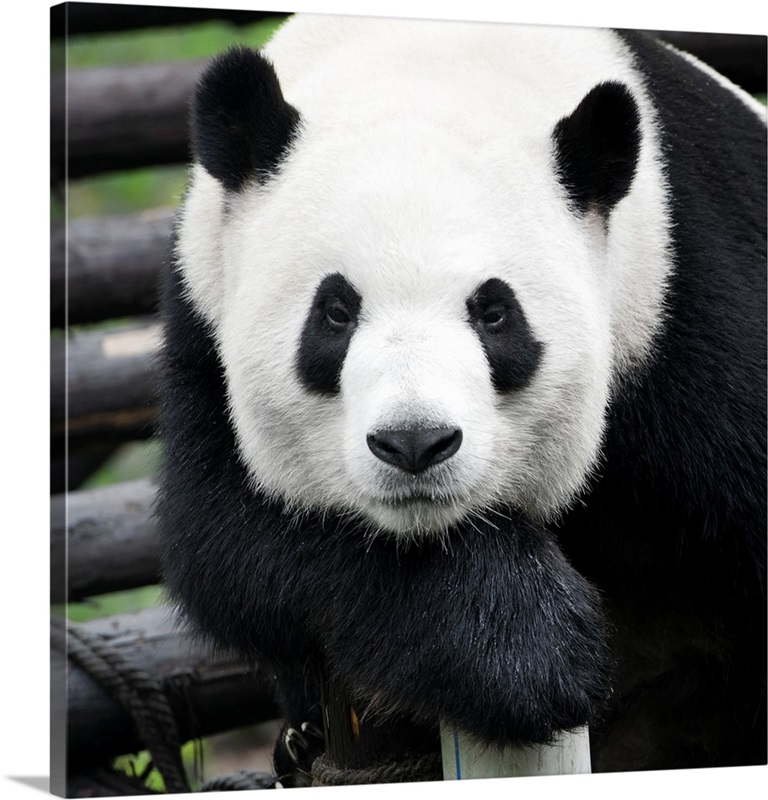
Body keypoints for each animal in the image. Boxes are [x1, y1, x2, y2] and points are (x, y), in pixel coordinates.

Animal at [157, 14, 766, 781]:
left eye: (494, 312)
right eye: (336, 311)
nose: (415, 443)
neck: (432, 54)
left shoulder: (681, 305)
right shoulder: (204, 318)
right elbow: (229, 538)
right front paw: (518, 648)